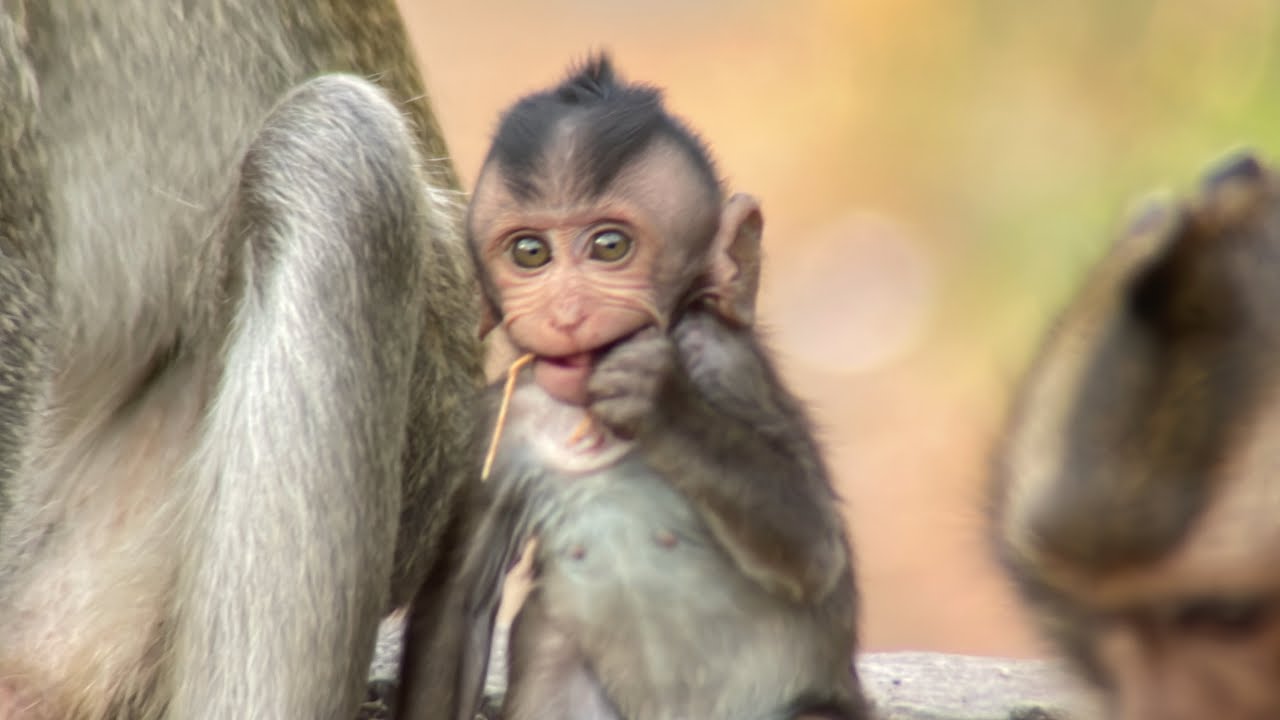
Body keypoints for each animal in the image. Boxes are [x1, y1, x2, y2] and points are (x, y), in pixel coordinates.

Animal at [396, 56, 869, 720]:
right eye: (530, 253)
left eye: (610, 246)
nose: (567, 312)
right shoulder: (494, 429)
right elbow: (459, 605)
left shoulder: (723, 358)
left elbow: (812, 549)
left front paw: (659, 398)